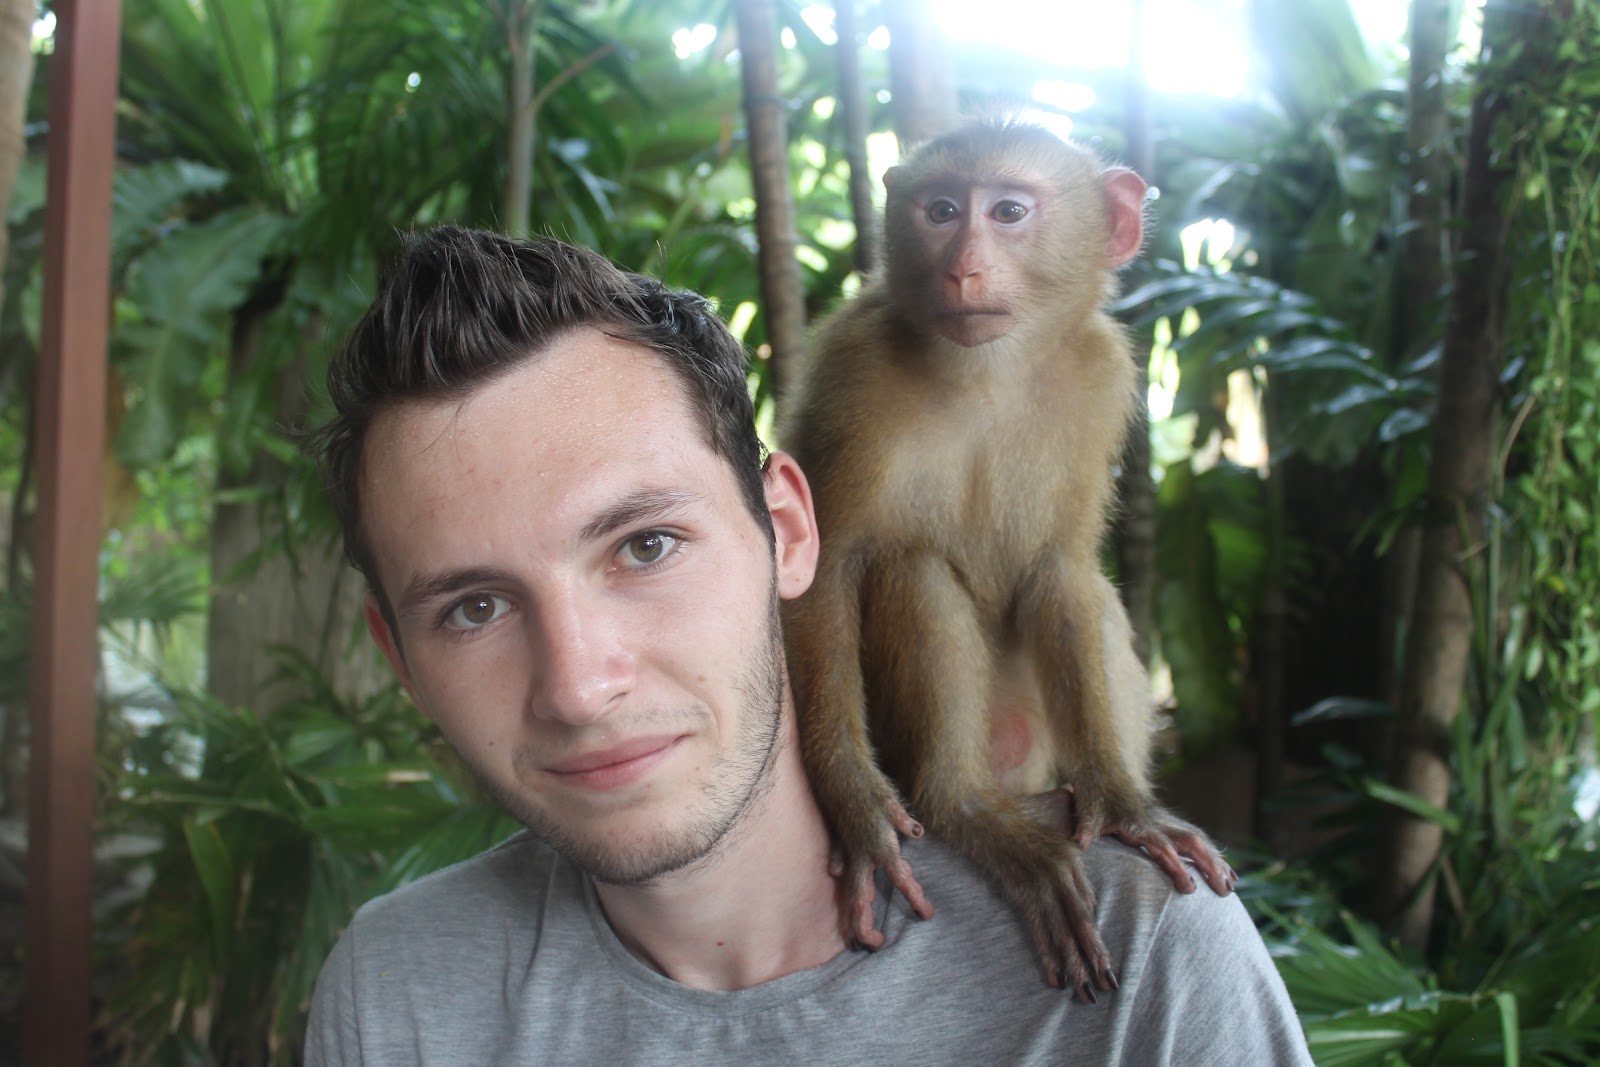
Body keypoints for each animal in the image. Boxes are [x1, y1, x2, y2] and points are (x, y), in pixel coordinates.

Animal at [779, 121, 1236, 1000]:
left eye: (1009, 211)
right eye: (941, 210)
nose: (963, 266)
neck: (990, 366)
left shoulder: (1100, 373)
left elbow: (1061, 573)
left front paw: (1124, 805)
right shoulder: (853, 369)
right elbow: (828, 565)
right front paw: (857, 808)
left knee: (1094, 601)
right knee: (912, 568)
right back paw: (963, 805)